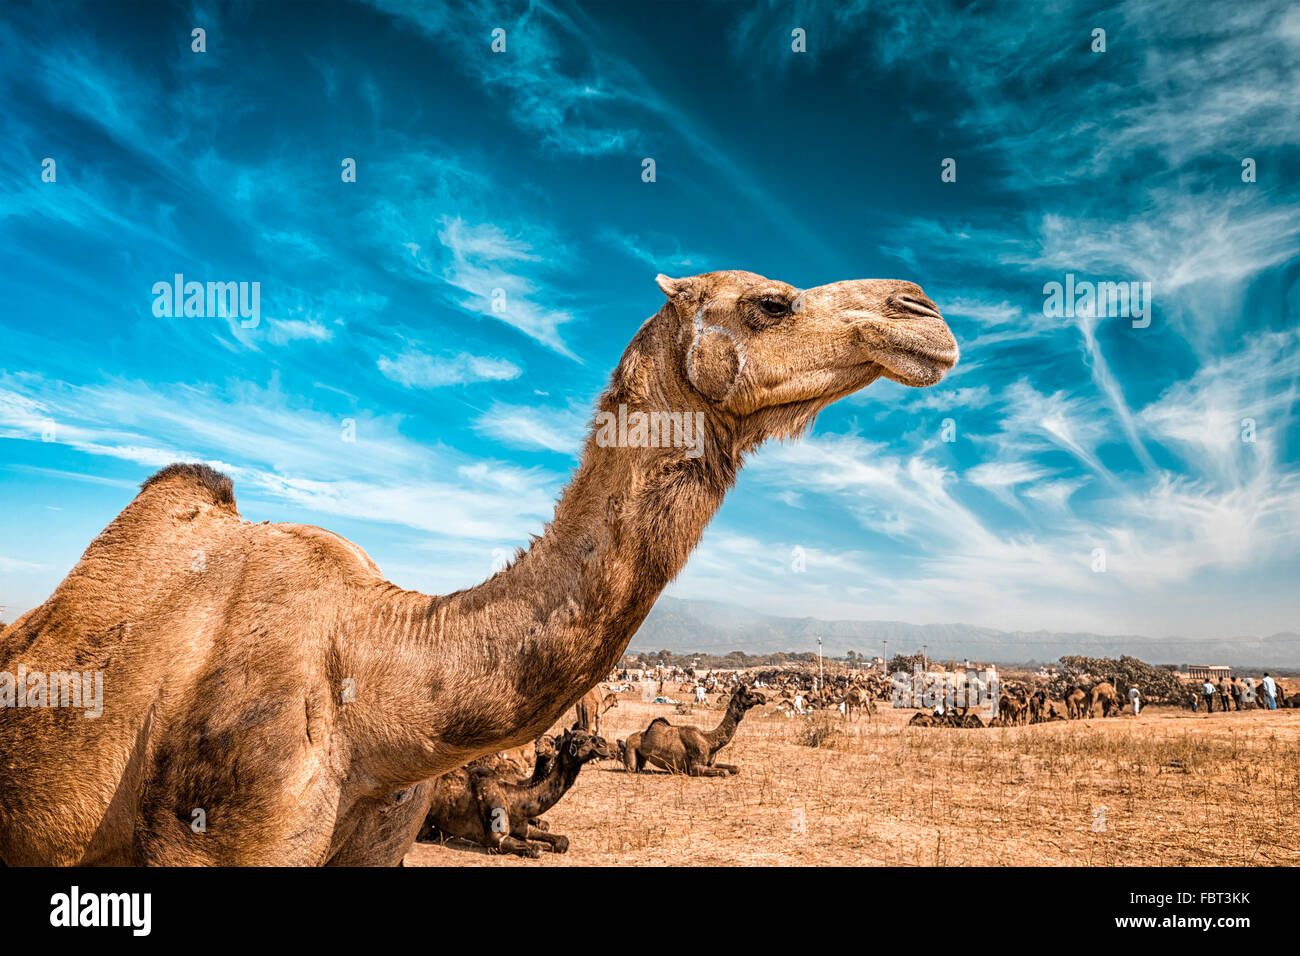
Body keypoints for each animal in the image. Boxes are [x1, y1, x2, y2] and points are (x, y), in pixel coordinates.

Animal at [418, 729, 610, 858]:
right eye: (581, 740)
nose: (604, 745)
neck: (513, 799)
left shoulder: (522, 826)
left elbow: (562, 841)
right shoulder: (497, 838)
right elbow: (536, 849)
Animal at [622, 685, 766, 775]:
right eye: (750, 694)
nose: (763, 698)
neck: (710, 741)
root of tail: (628, 738)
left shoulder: (711, 764)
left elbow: (736, 768)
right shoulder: (695, 767)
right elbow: (725, 772)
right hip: (631, 750)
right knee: (632, 768)